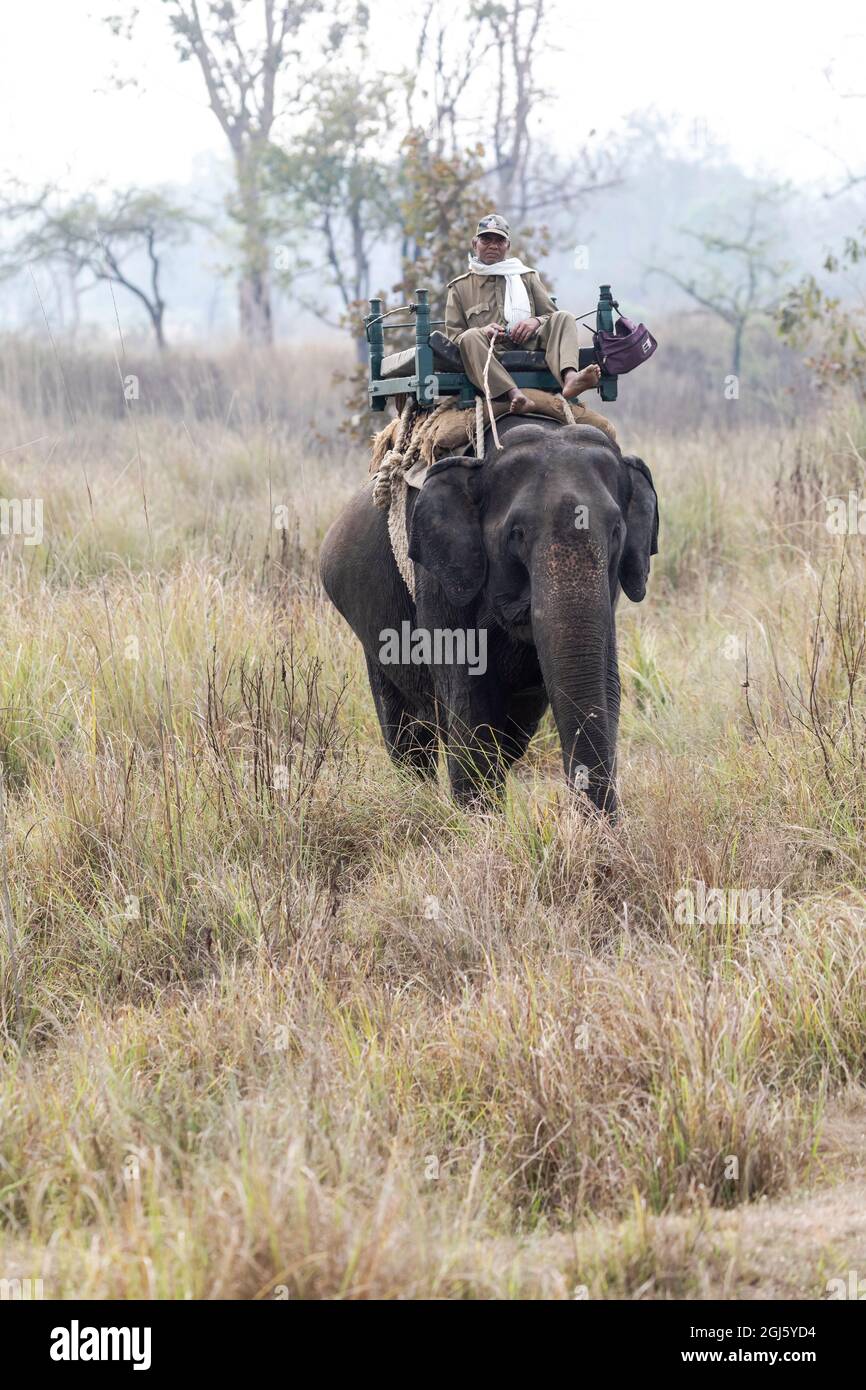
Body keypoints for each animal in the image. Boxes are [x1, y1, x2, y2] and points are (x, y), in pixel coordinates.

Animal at [319, 416, 659, 814]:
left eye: (617, 531)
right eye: (516, 534)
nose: (594, 822)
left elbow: (604, 678)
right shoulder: (439, 573)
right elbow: (468, 693)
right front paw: (478, 820)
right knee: (404, 726)